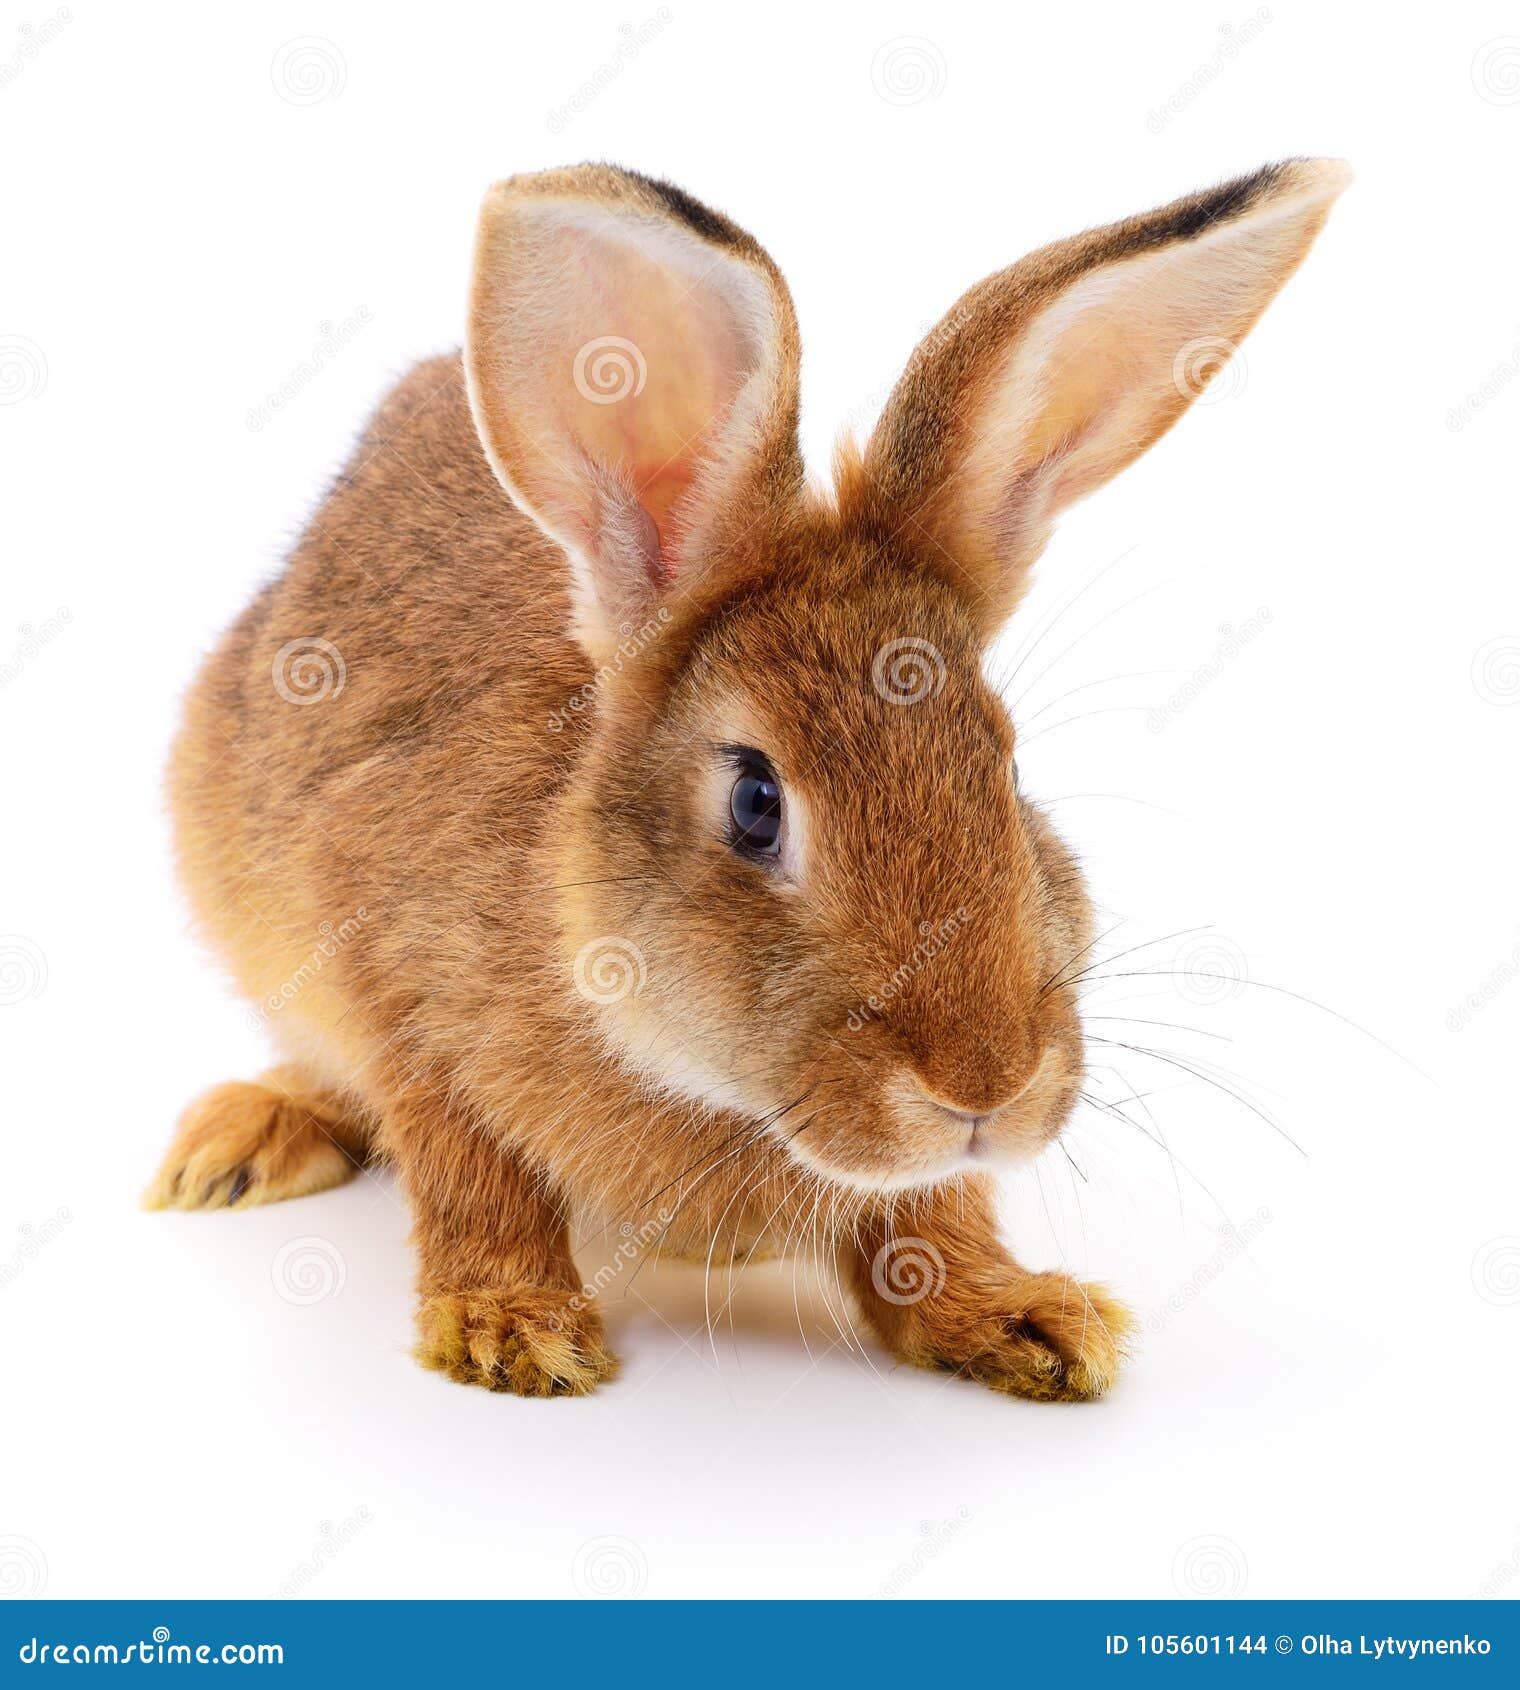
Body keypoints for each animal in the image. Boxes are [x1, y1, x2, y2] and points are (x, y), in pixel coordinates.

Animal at [147, 159, 1349, 1400]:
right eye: (755, 802)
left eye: (1008, 767)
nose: (984, 1086)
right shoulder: (402, 999)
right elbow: (470, 1174)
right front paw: (513, 1330)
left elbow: (932, 1219)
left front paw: (1021, 1318)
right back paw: (239, 1143)